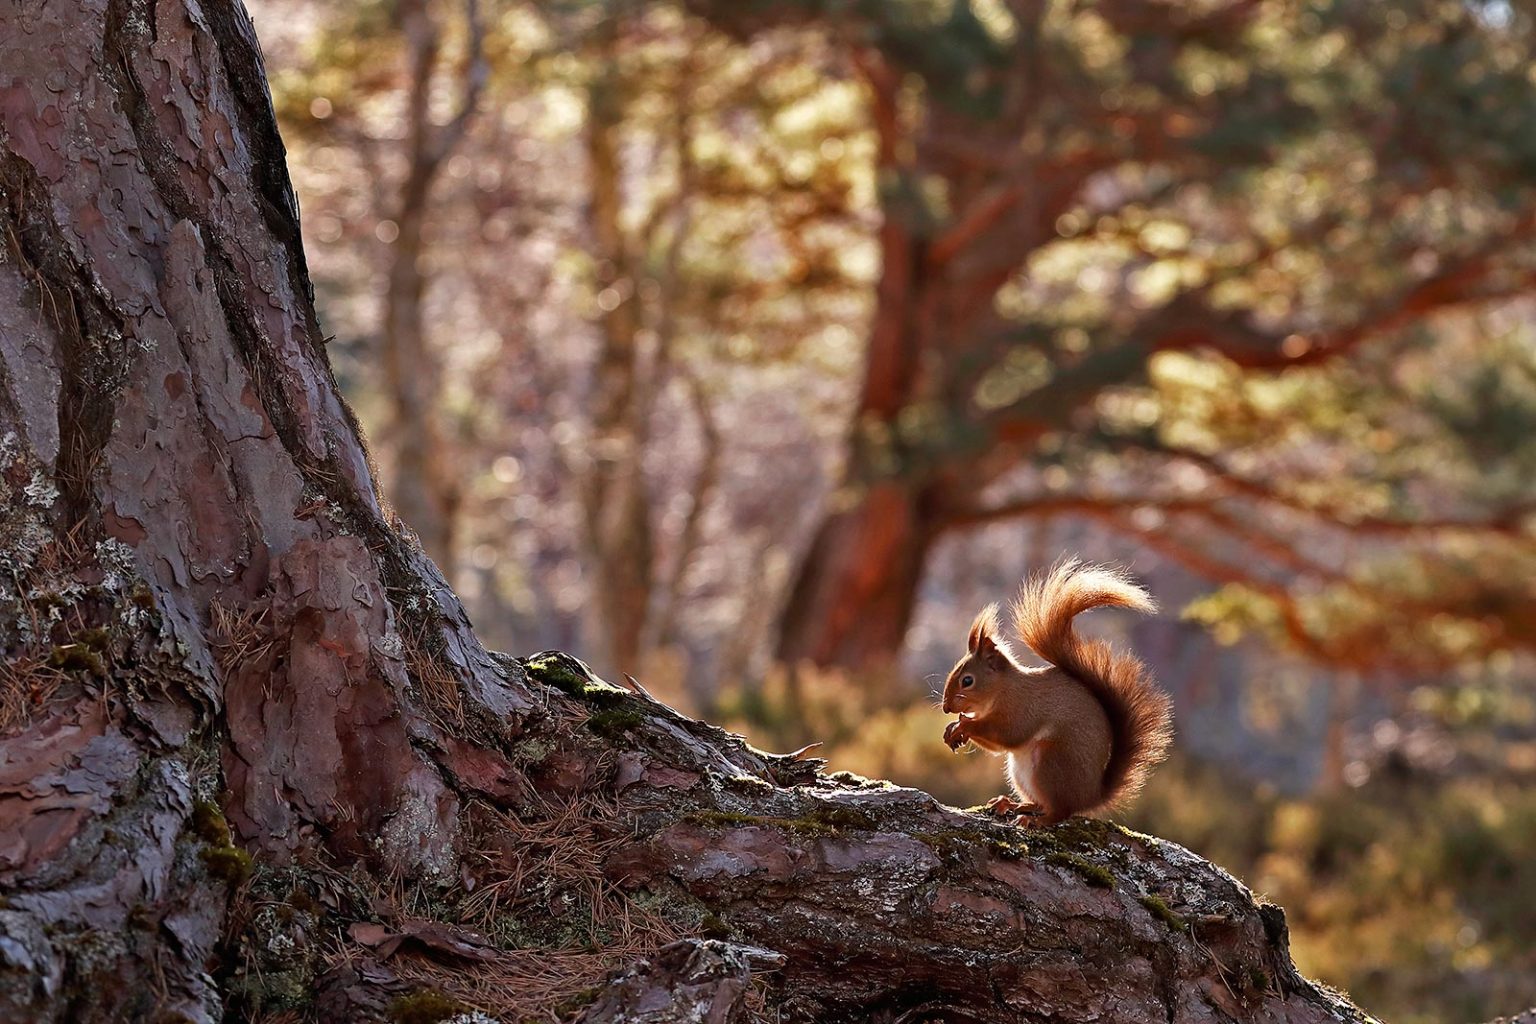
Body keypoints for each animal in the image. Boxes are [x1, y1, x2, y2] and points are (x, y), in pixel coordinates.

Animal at [941, 559, 1173, 826]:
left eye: (967, 680)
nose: (946, 707)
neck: (1002, 689)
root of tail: (1090, 796)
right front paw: (952, 729)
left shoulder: (1022, 708)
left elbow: (1007, 733)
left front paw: (963, 725)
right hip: (1021, 772)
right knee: (1040, 803)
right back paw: (1011, 804)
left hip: (1050, 761)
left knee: (1059, 811)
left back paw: (1034, 820)